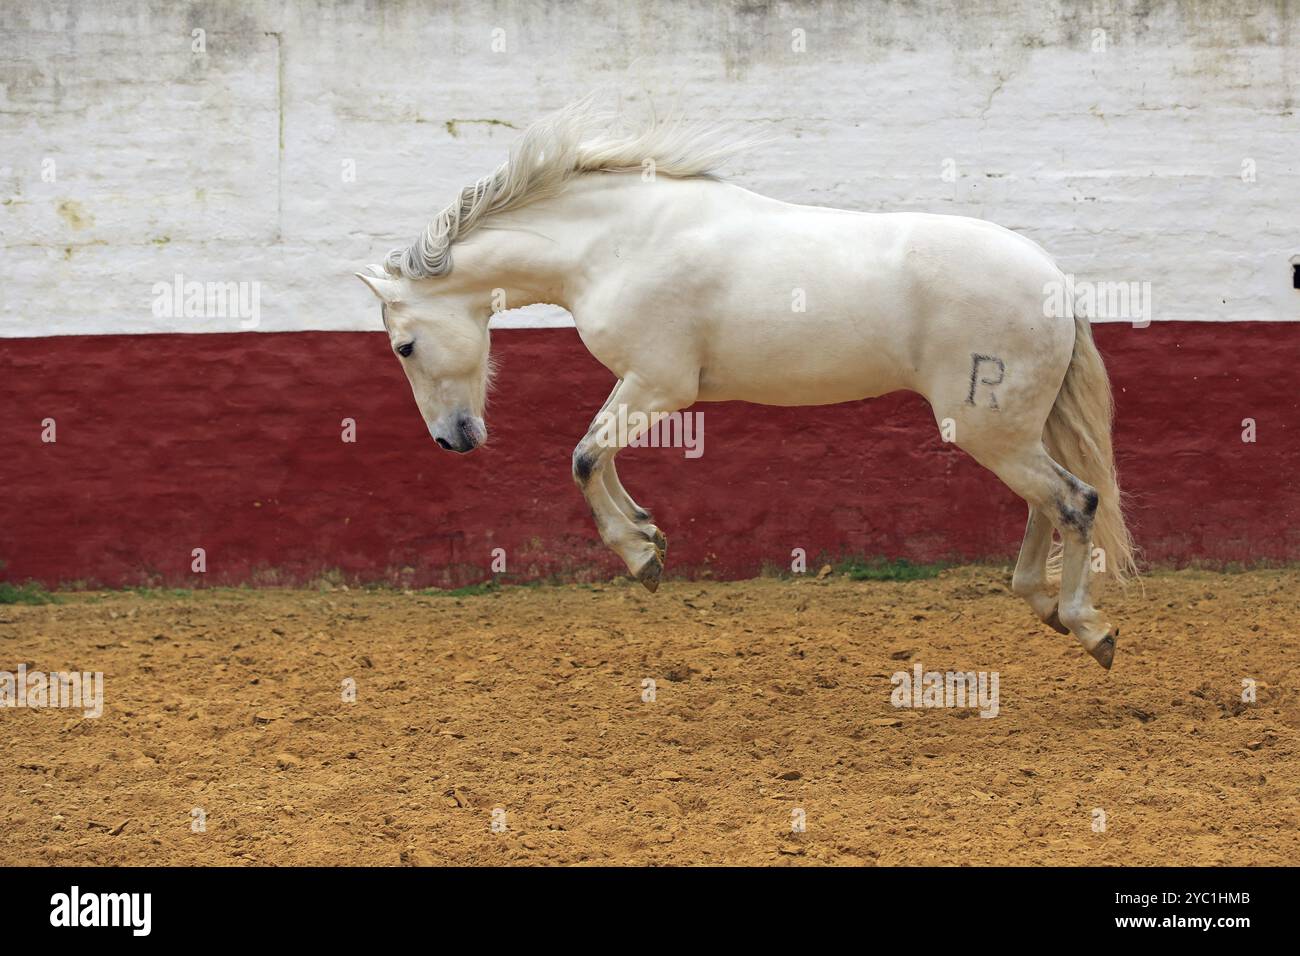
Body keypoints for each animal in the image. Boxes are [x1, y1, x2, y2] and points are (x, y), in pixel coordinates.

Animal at [355, 99, 1137, 669]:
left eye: (404, 345)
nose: (453, 440)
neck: (615, 244)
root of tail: (1054, 279)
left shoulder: (659, 385)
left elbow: (582, 456)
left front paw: (640, 557)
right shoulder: (645, 385)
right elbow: (596, 456)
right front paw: (648, 533)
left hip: (987, 428)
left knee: (1075, 502)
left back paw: (1088, 627)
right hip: (1007, 431)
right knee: (1049, 504)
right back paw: (1046, 606)